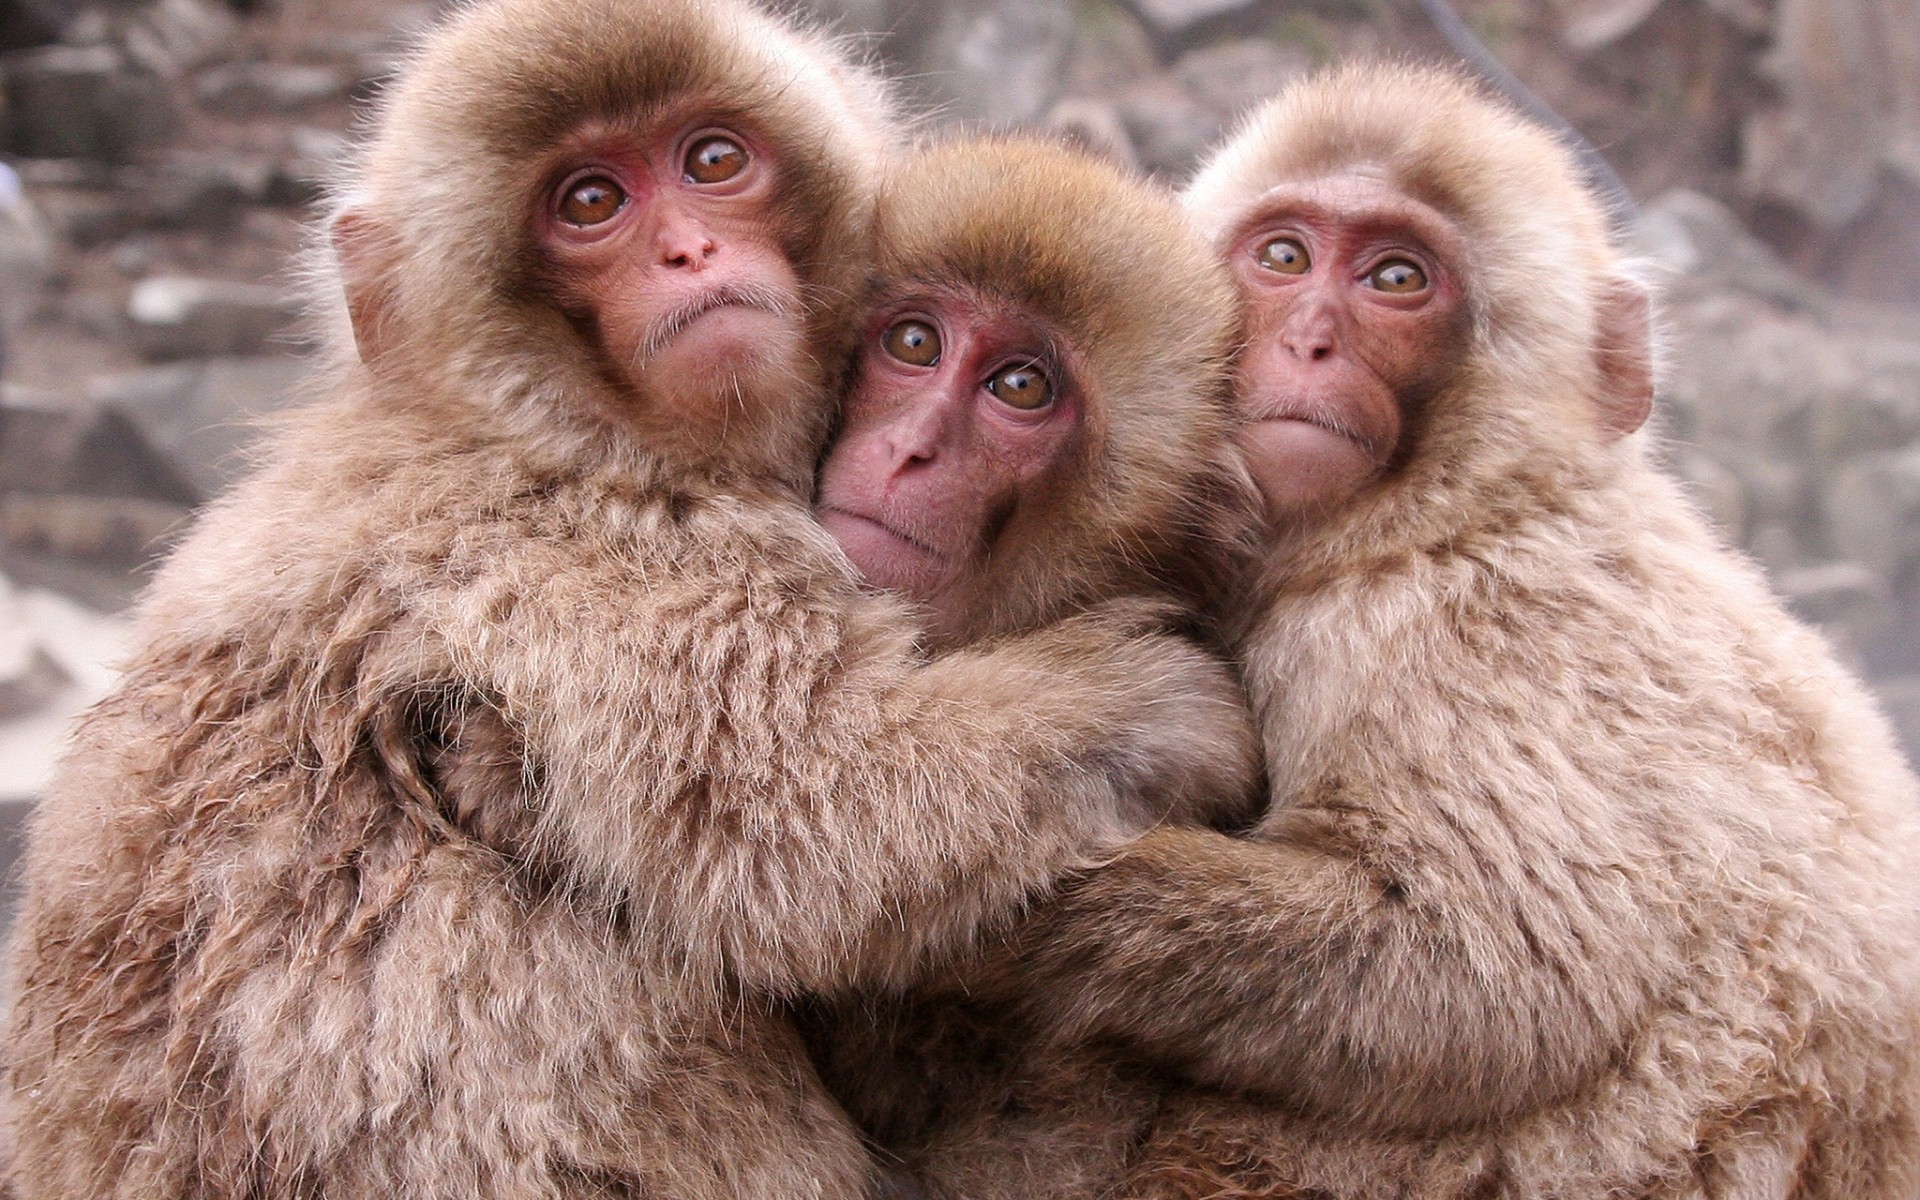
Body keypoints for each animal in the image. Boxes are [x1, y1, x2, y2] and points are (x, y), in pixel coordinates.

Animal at [0, 2, 1263, 1196]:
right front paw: (1162, 701)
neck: (543, 420)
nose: (689, 251)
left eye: (712, 160)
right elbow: (810, 812)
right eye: (592, 202)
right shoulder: (595, 548)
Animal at [833, 61, 1920, 1200]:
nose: (1307, 339)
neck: (1441, 514)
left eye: (1396, 279)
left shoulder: (1442, 630)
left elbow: (1491, 980)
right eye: (1284, 256)